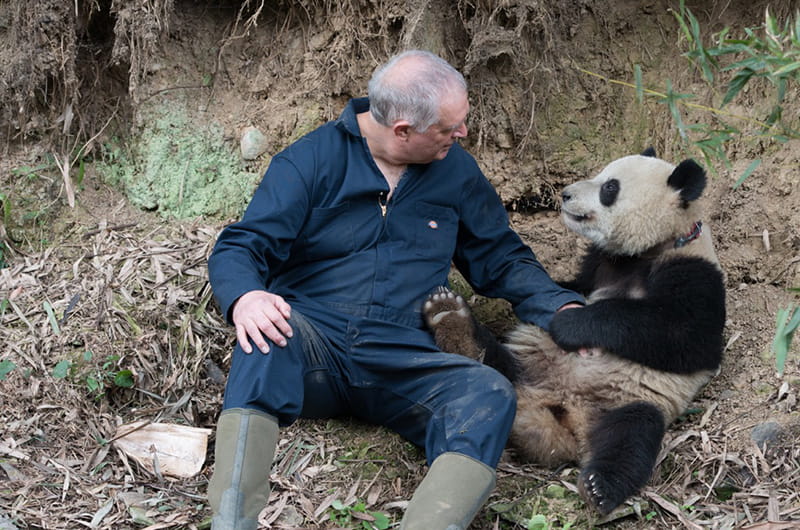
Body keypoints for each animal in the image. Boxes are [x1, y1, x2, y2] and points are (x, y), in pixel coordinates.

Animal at [423, 148, 726, 515]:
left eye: (609, 188)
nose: (565, 194)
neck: (650, 248)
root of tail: (556, 411)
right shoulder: (596, 264)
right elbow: (565, 287)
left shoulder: (695, 271)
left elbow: (687, 337)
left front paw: (569, 324)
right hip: (527, 367)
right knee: (497, 365)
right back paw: (452, 321)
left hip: (628, 402)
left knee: (631, 436)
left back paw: (600, 485)